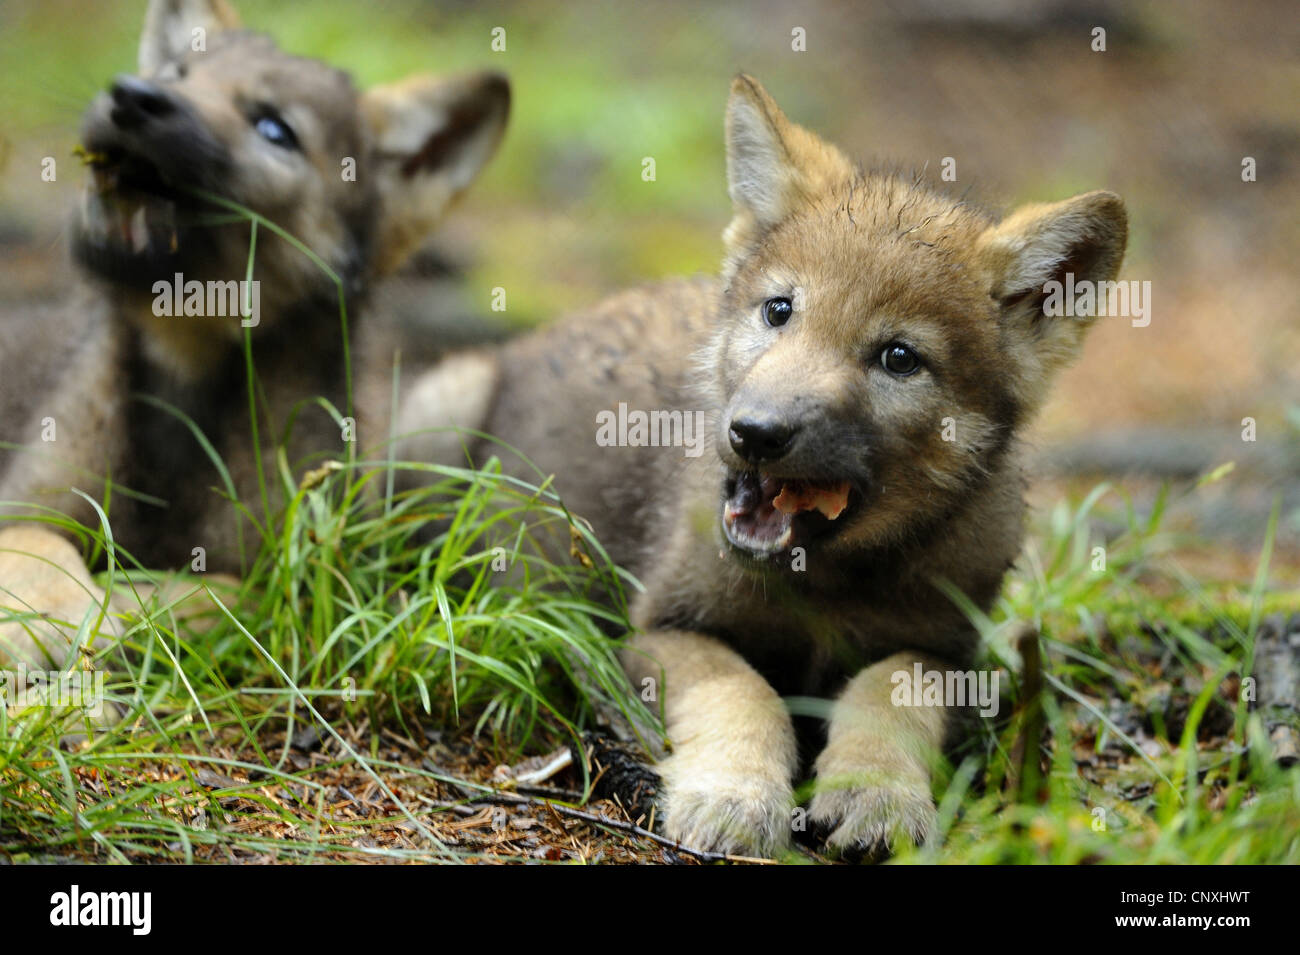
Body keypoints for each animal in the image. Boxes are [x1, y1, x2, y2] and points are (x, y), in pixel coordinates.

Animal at [0, 0, 509, 669]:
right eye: (176, 73)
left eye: (275, 130)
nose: (132, 95)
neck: (185, 382)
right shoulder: (24, 501)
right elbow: (37, 545)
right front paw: (52, 611)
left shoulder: (285, 572)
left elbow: (208, 594)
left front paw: (117, 611)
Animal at [395, 75, 1127, 857]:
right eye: (779, 310)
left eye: (899, 357)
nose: (754, 432)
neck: (827, 584)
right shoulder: (663, 627)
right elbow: (743, 692)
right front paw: (734, 796)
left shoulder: (949, 653)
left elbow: (889, 690)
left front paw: (877, 794)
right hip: (445, 402)